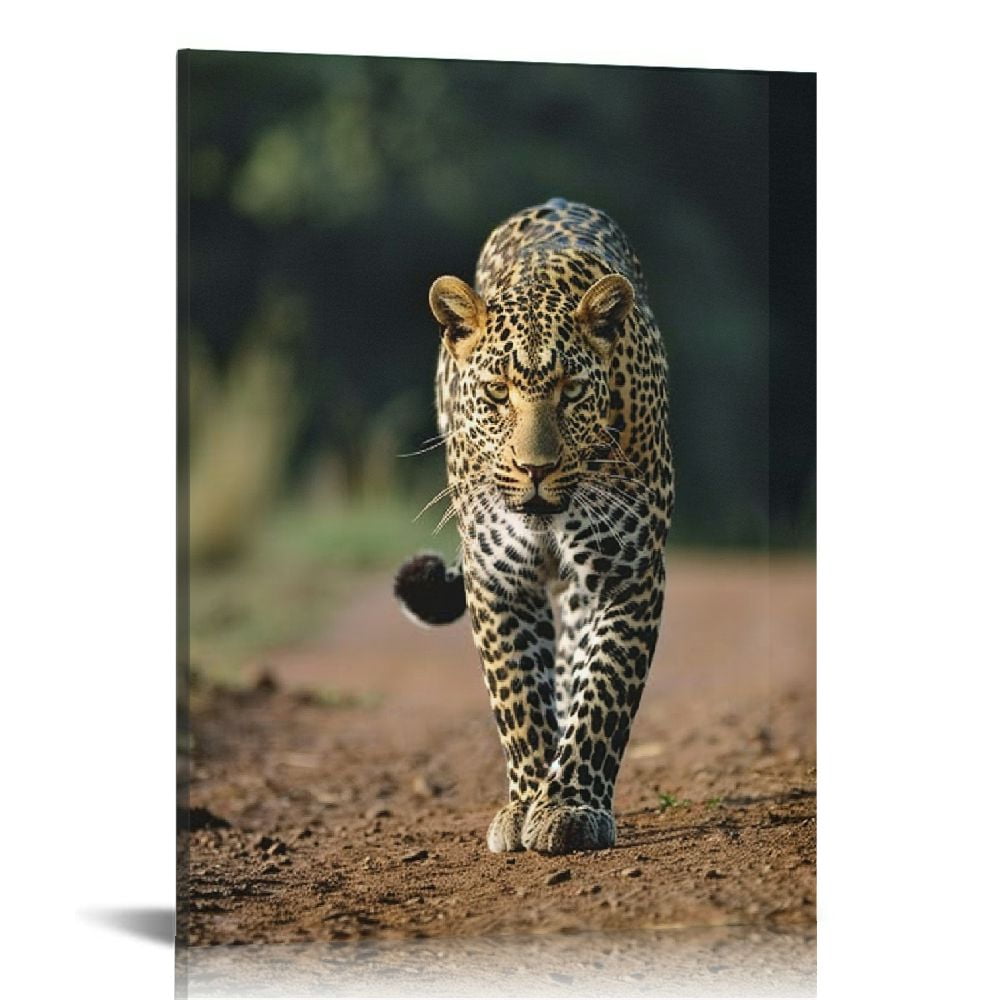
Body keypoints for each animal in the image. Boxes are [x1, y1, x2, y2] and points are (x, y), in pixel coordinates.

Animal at [395, 198, 674, 855]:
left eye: (571, 391)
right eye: (498, 392)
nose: (535, 469)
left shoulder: (630, 575)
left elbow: (604, 692)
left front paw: (569, 803)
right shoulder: (497, 579)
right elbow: (518, 695)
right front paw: (527, 802)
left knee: (576, 666)